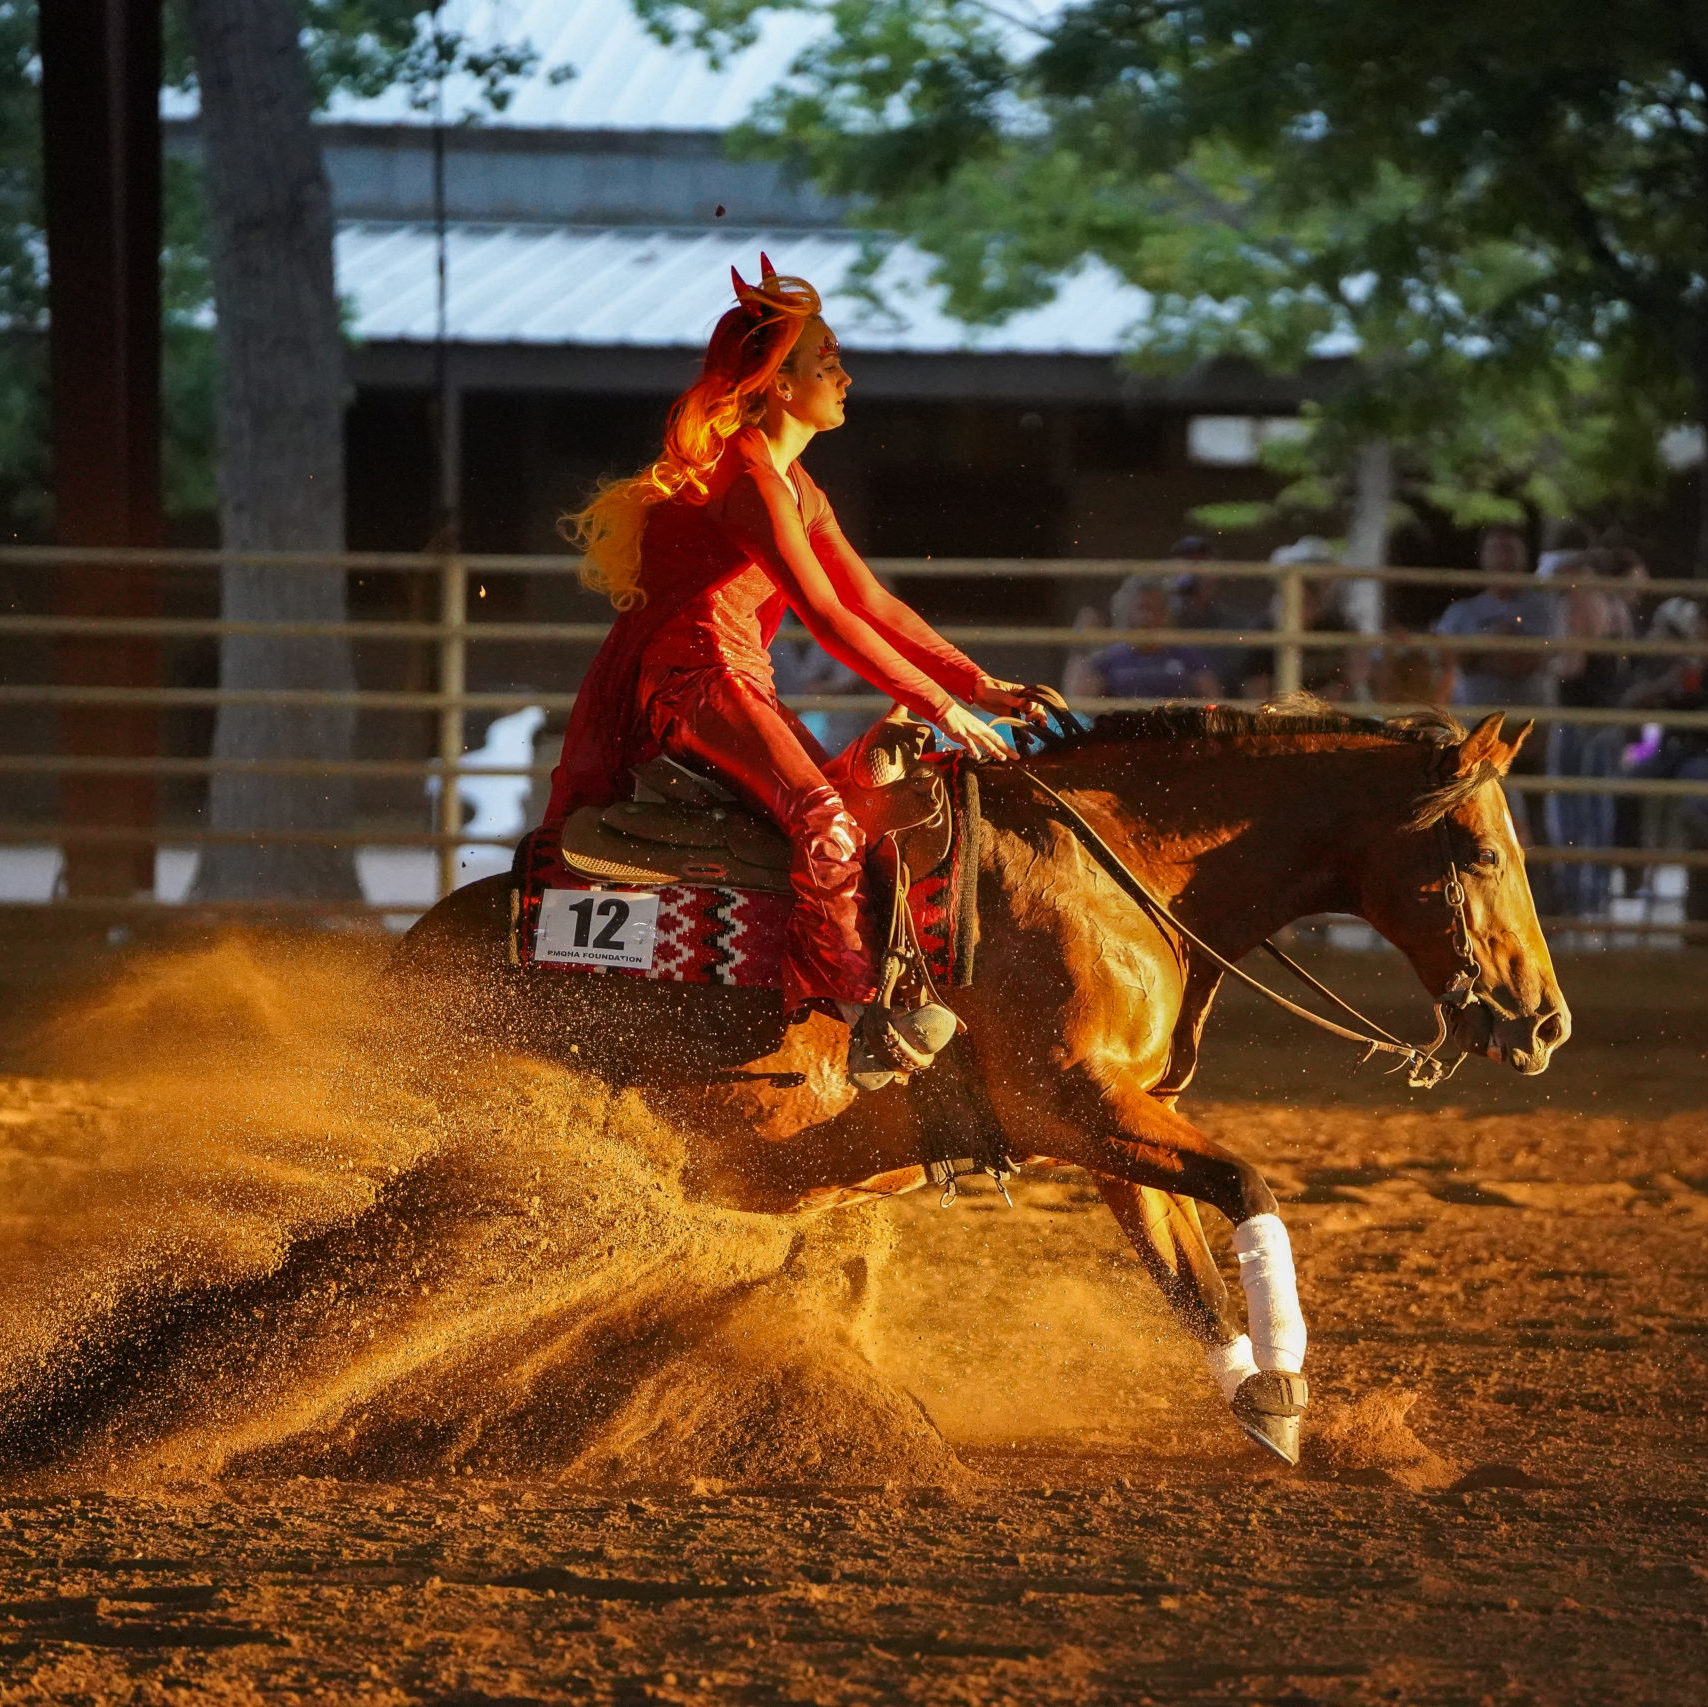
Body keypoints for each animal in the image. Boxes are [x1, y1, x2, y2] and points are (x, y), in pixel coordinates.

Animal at [395, 700, 1570, 1464]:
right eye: (1481, 855)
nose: (1545, 1021)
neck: (1108, 873)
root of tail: (416, 948)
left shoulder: (1117, 1129)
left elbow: (1186, 1268)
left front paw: (1259, 1399)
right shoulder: (1077, 1104)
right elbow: (1248, 1184)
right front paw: (1285, 1383)